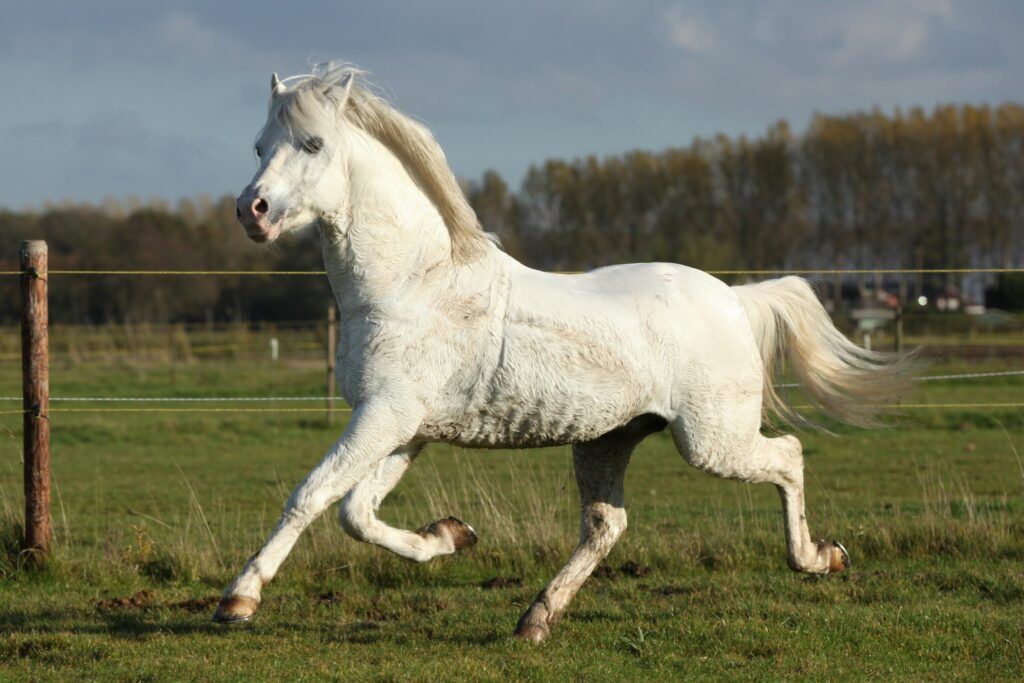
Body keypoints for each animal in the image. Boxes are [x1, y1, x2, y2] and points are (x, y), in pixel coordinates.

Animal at [215, 62, 912, 641]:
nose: (252, 210)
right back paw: (535, 620)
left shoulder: (386, 417)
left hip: (711, 441)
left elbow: (311, 496)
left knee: (788, 456)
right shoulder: (404, 428)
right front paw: (453, 536)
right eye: (258, 146)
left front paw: (238, 600)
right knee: (606, 526)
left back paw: (820, 558)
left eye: (312, 143)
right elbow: (355, 513)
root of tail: (735, 300)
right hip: (608, 439)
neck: (416, 283)